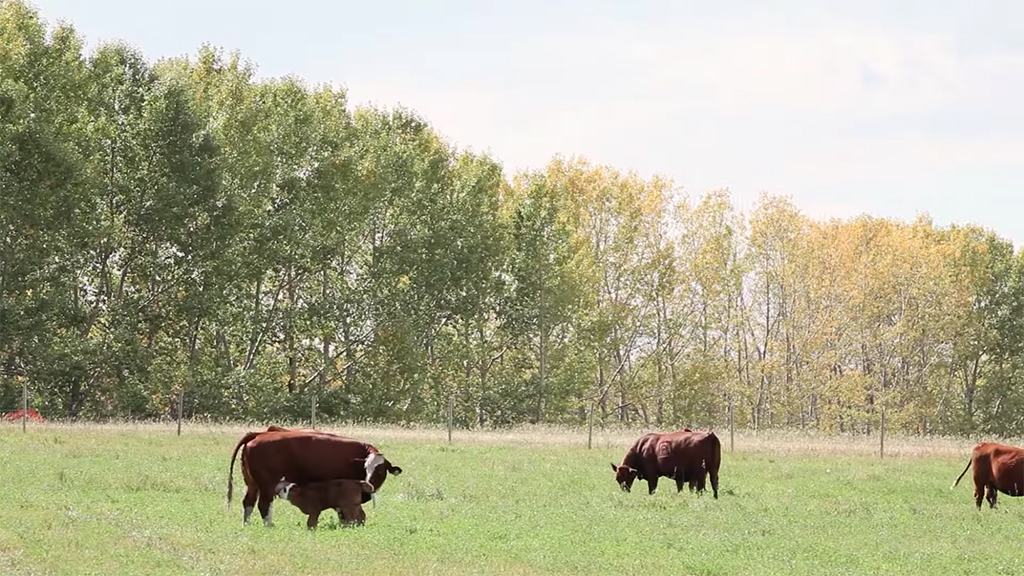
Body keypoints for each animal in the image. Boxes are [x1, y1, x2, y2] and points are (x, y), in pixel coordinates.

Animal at [226, 428, 402, 526]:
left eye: (380, 471)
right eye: (366, 469)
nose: (370, 486)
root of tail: (258, 435)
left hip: (252, 483)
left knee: (248, 502)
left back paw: (247, 524)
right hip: (267, 485)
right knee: (263, 504)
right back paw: (269, 526)